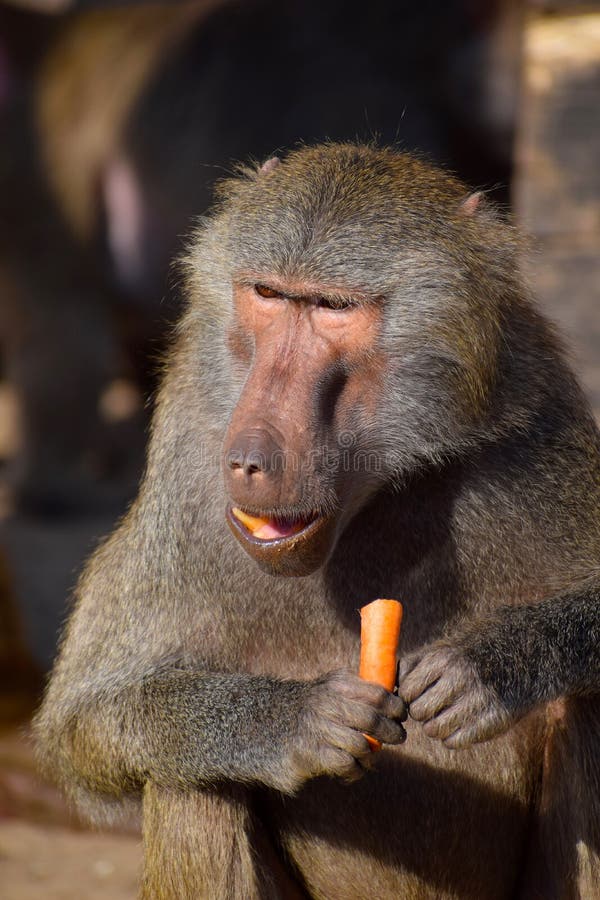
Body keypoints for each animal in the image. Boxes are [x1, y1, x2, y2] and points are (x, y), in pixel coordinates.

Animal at [34, 143, 600, 898]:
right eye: (268, 295)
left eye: (333, 306)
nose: (249, 459)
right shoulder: (183, 475)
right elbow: (82, 726)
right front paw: (294, 721)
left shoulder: (540, 433)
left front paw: (493, 666)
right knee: (189, 782)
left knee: (584, 709)